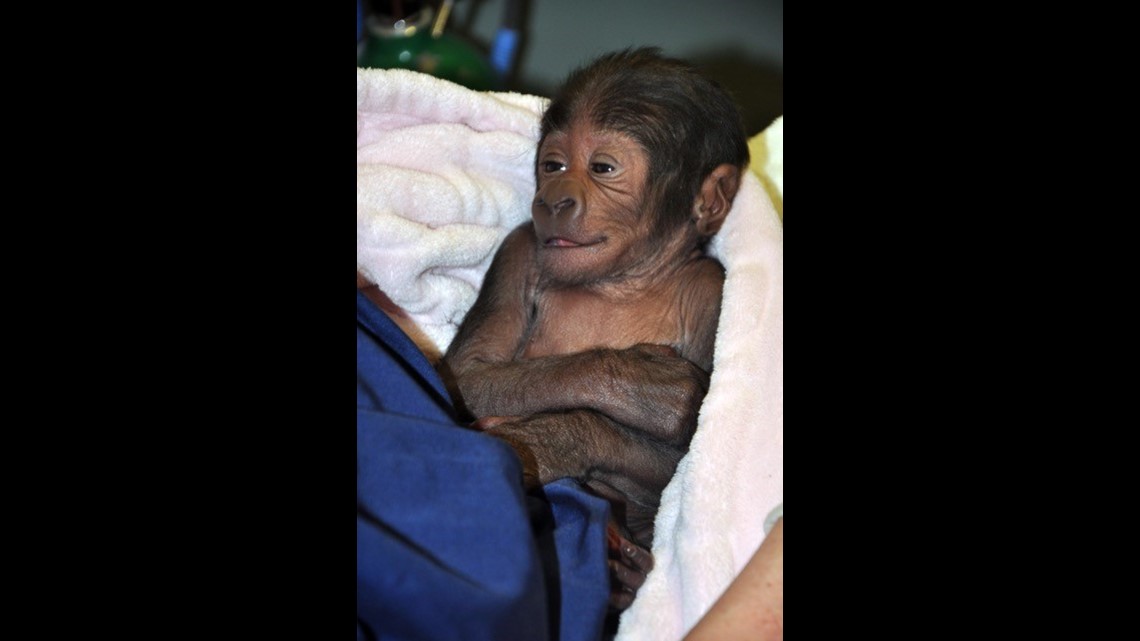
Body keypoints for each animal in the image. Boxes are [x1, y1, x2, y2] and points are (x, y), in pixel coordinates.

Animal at [441, 47, 750, 610]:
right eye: (553, 166)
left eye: (603, 168)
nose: (553, 199)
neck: (620, 280)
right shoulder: (520, 249)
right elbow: (466, 375)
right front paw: (640, 386)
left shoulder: (712, 294)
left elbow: (683, 454)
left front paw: (550, 440)